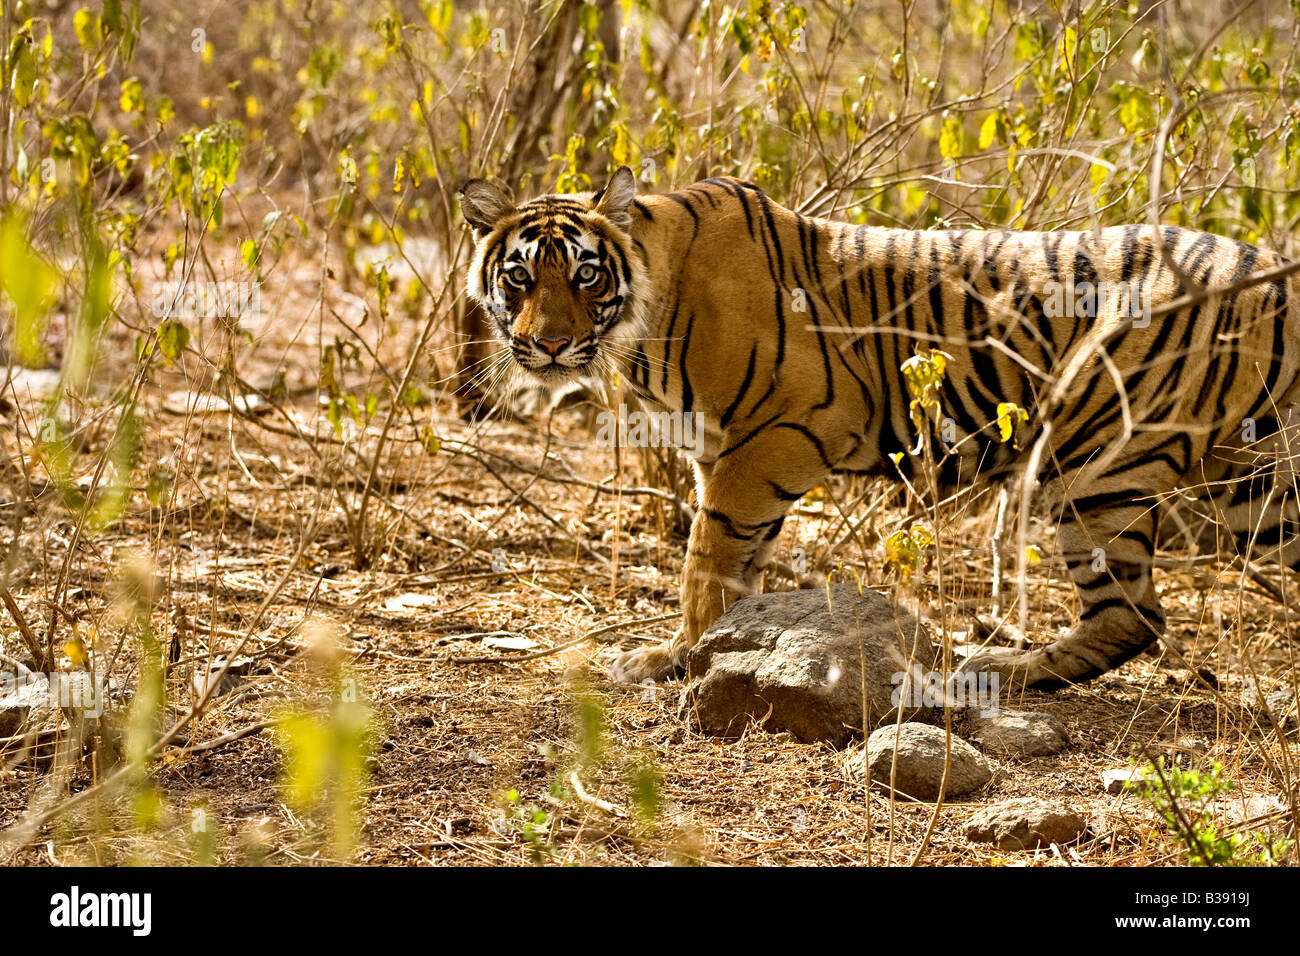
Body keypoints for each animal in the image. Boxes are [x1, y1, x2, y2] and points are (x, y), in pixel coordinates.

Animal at [459, 165, 1300, 690]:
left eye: (586, 274)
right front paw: (715, 651)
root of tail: (1274, 274)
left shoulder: (771, 440)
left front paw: (681, 656)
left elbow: (708, 560)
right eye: (520, 277)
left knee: (1132, 612)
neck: (644, 315)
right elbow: (739, 565)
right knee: (1142, 611)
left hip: (1101, 461)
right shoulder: (726, 453)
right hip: (1254, 481)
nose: (550, 345)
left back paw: (1000, 672)